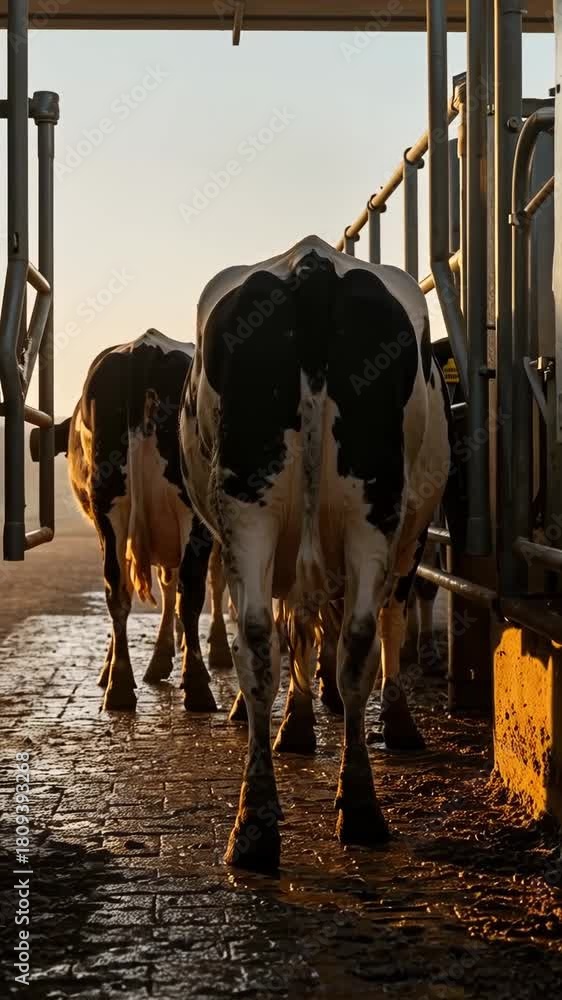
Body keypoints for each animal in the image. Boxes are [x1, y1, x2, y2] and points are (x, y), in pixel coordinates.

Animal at [32, 329, 232, 712]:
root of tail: (145, 349)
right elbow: (197, 585)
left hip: (110, 506)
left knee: (117, 588)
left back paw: (120, 686)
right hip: (189, 514)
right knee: (190, 591)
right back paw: (196, 684)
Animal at [180, 236, 457, 872]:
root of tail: (312, 266)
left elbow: (299, 627)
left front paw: (300, 725)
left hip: (250, 503)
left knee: (262, 640)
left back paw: (254, 825)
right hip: (371, 504)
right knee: (353, 639)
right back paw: (357, 807)